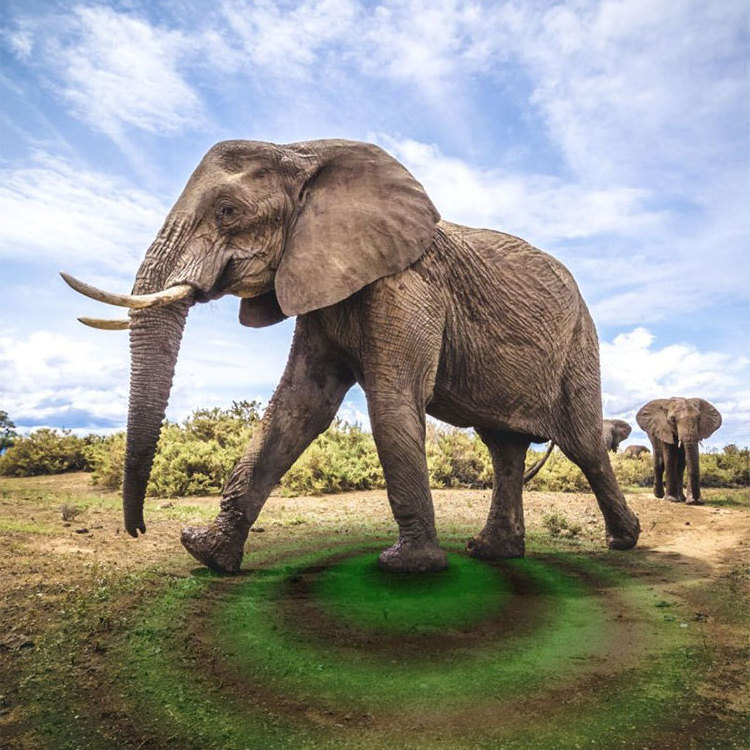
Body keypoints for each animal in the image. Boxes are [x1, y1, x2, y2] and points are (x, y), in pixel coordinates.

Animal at [62, 138, 640, 574]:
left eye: (227, 212)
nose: (138, 529)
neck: (304, 154)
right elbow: (297, 408)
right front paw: (207, 552)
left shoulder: (406, 285)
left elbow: (391, 402)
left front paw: (408, 567)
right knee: (503, 449)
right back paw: (492, 552)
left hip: (579, 345)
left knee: (583, 445)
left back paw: (623, 542)